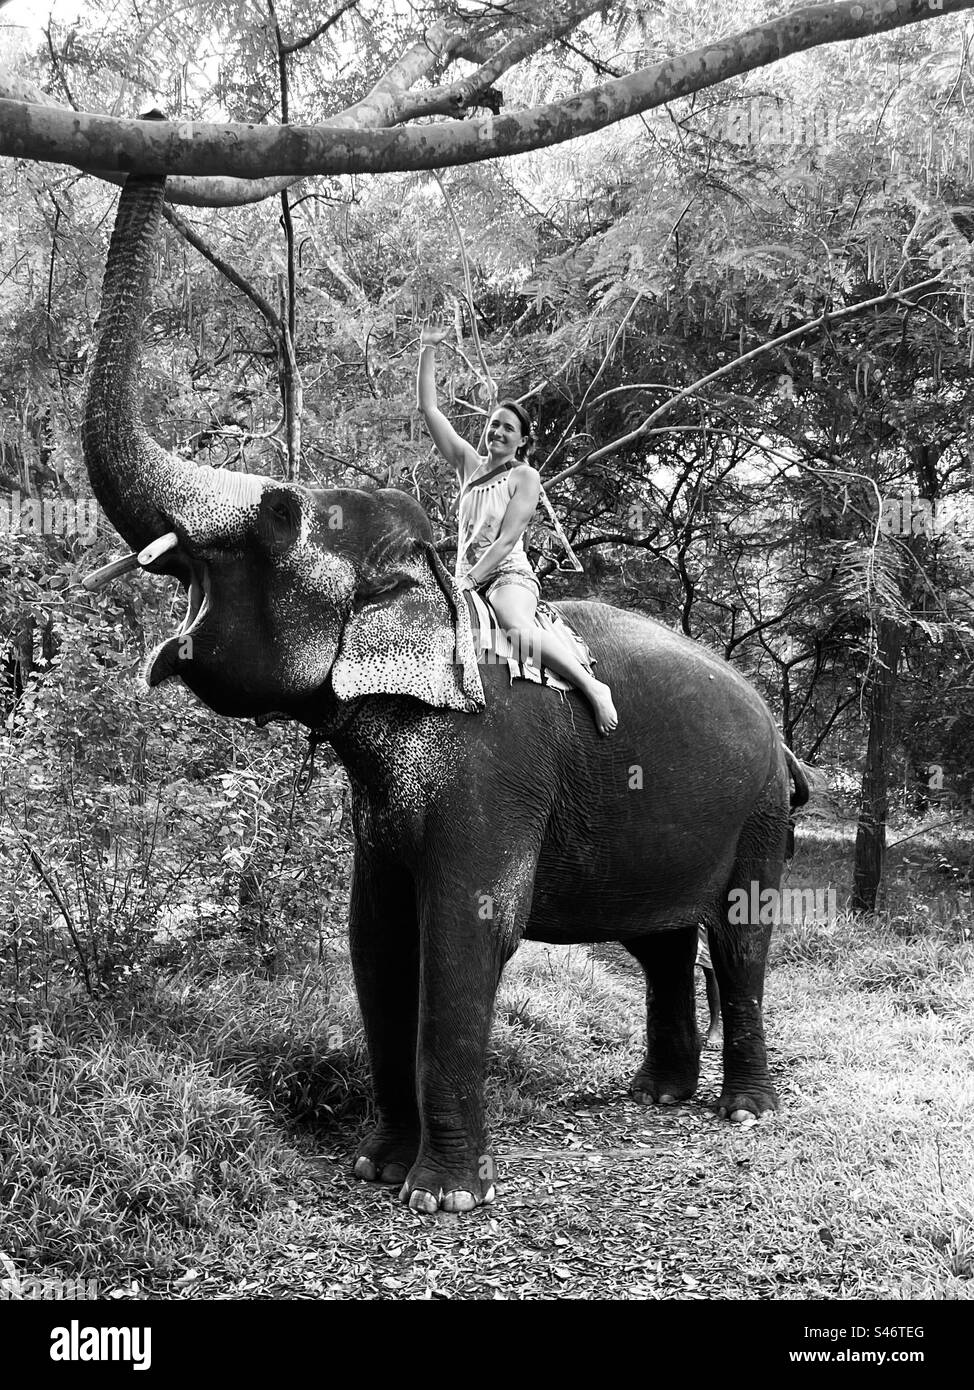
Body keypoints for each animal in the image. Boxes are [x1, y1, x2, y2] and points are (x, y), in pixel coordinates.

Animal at [81, 173, 810, 1214]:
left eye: (281, 519)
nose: (149, 145)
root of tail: (780, 735)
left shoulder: (492, 768)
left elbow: (467, 934)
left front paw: (441, 1198)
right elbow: (373, 935)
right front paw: (376, 1168)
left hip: (757, 812)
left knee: (741, 942)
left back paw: (741, 1110)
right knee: (663, 943)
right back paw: (657, 1096)